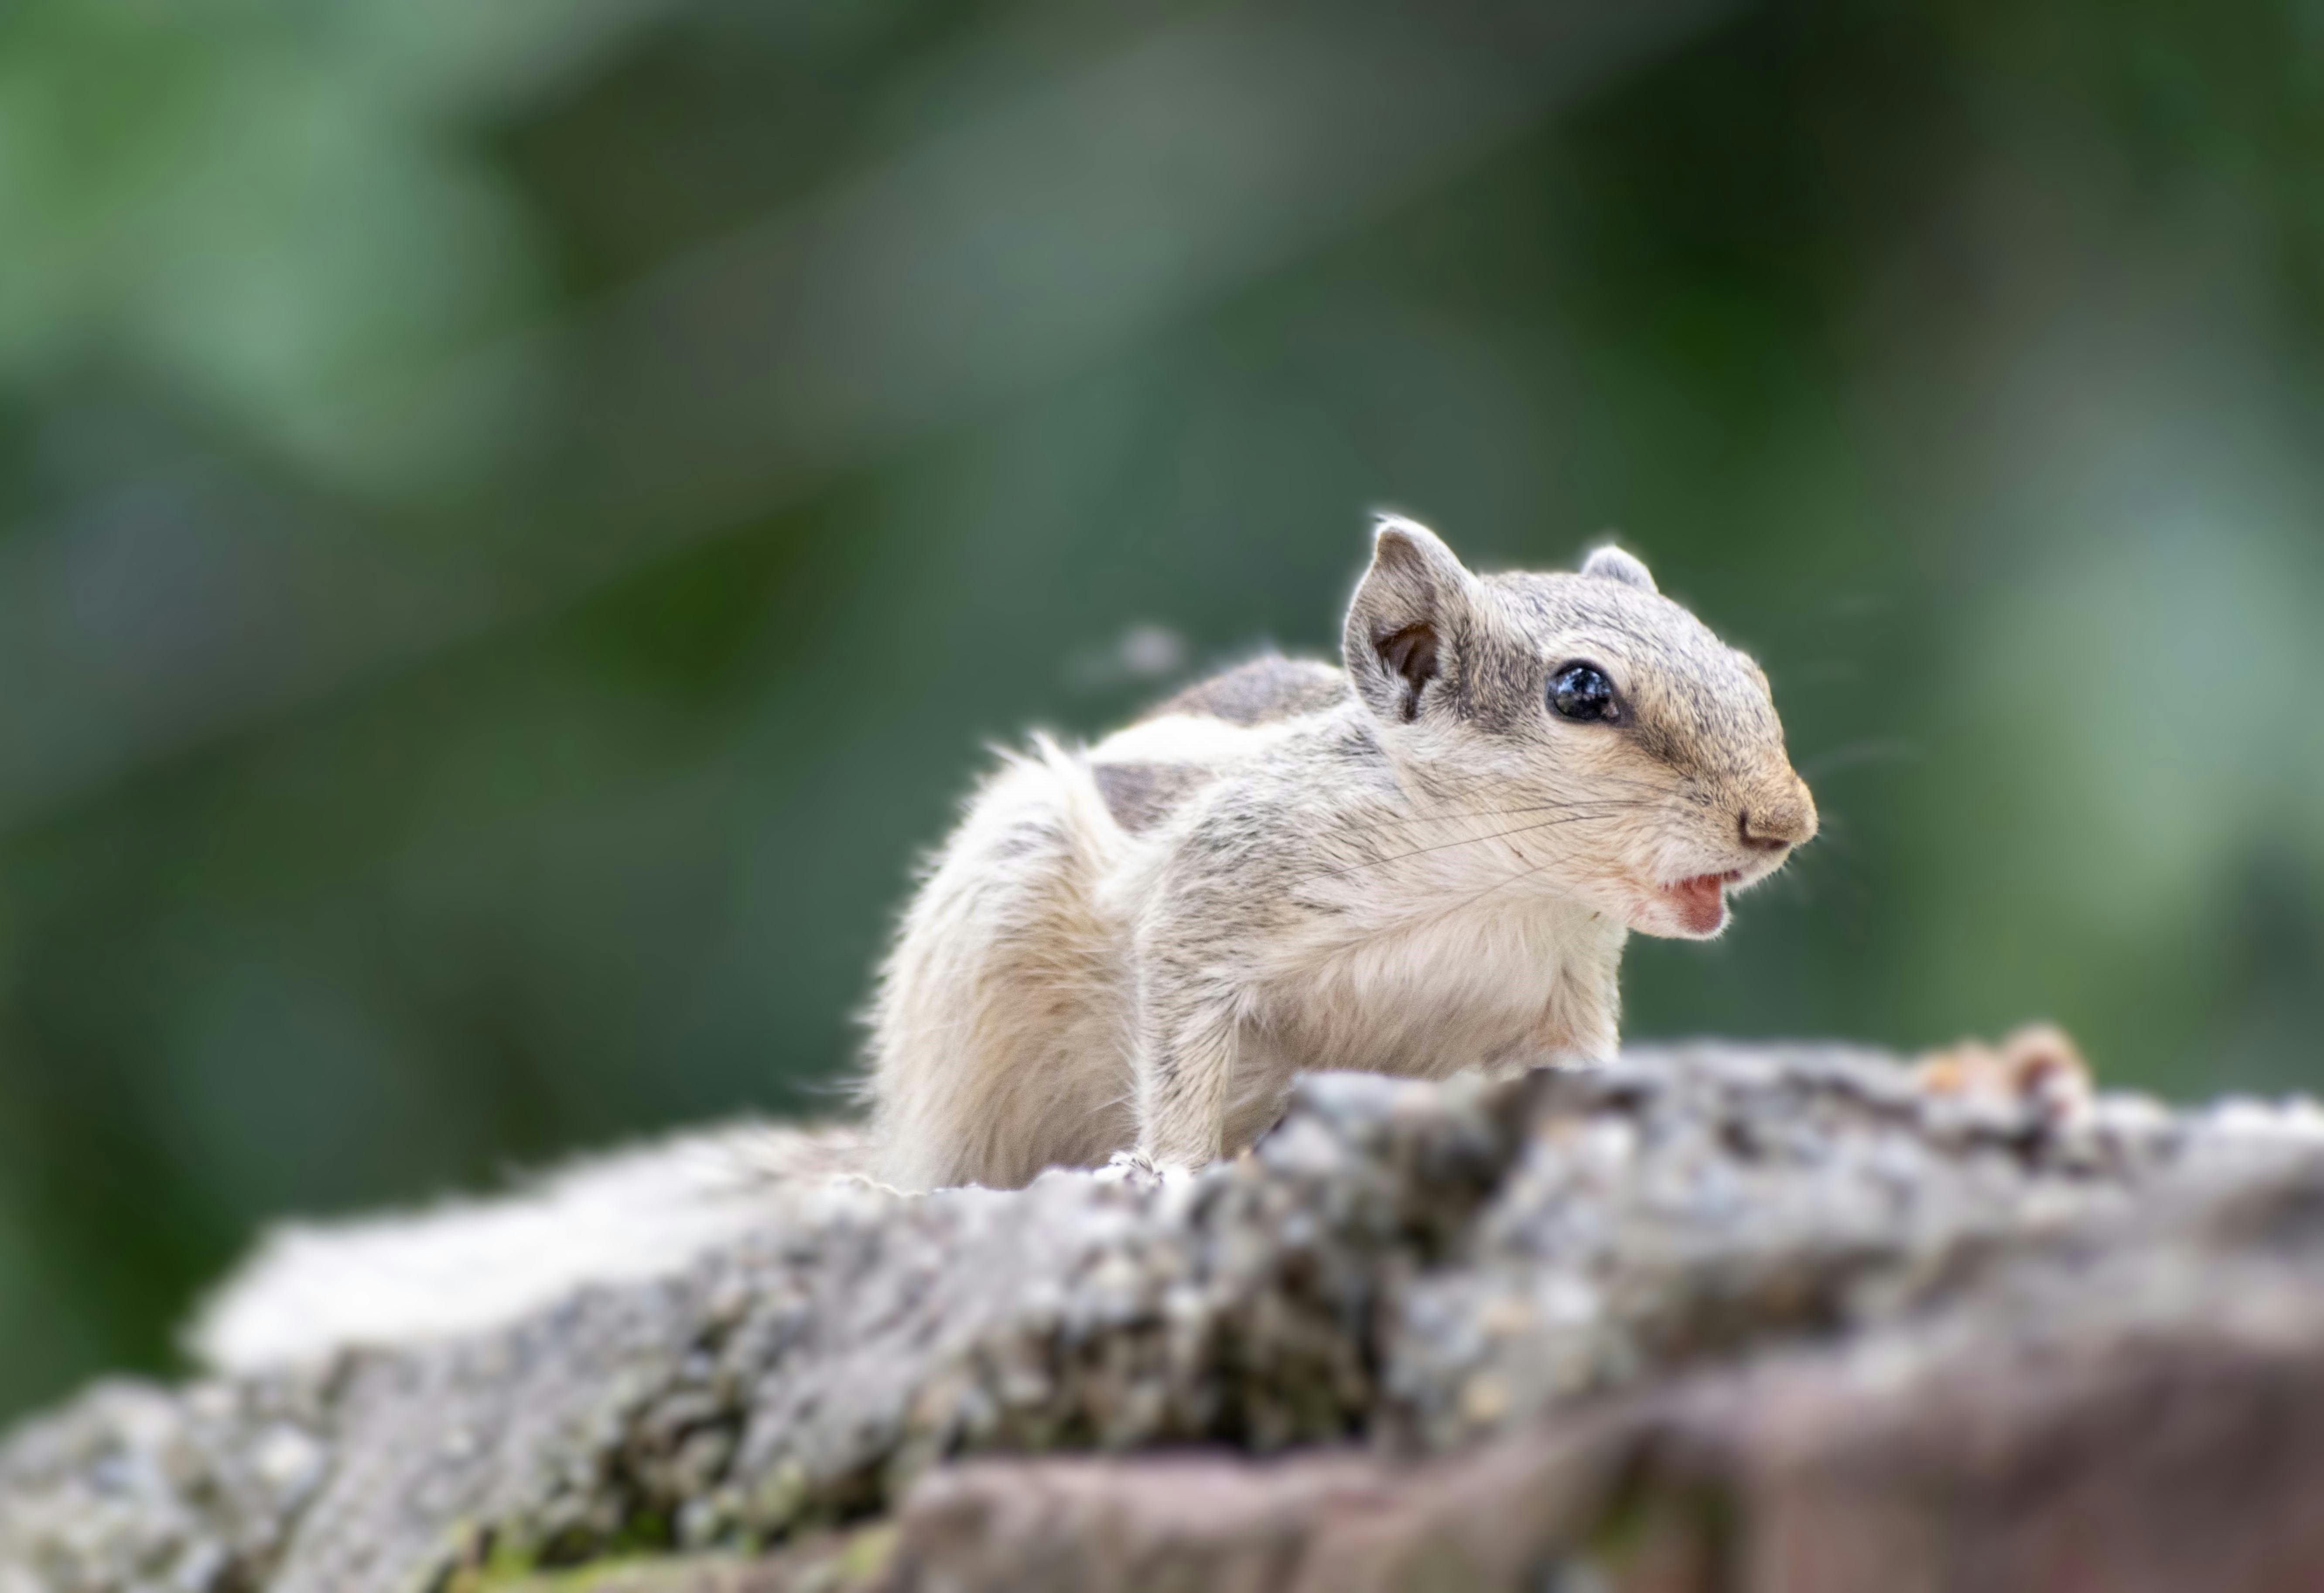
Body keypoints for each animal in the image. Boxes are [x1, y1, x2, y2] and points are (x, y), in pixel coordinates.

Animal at [187, 516, 1814, 1370]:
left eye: (1747, 669)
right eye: (1582, 692)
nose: (1781, 823)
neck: (1482, 887)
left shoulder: (1555, 999)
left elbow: (1568, 1064)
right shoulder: (1208, 918)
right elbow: (1182, 1050)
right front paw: (1165, 1170)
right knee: (939, 1169)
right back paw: (911, 1192)